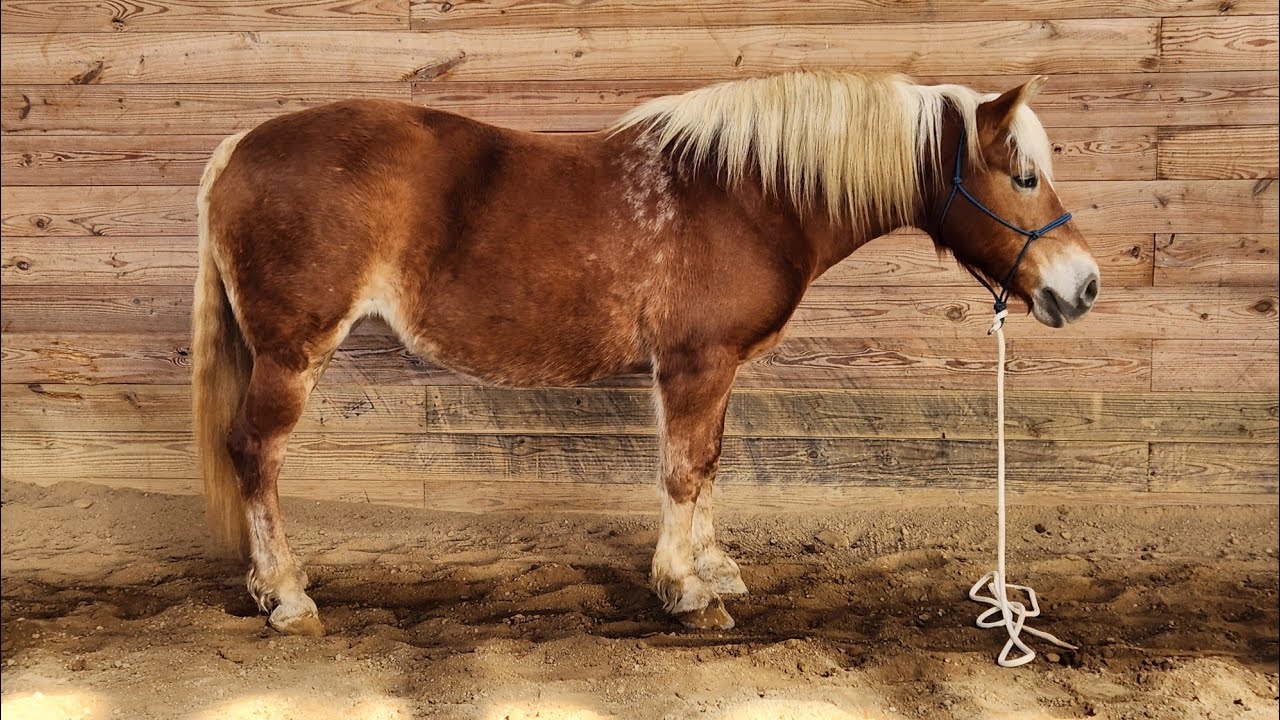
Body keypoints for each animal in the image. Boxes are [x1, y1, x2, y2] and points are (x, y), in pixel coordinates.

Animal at [193, 70, 1100, 636]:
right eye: (1024, 176)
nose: (1083, 285)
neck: (746, 195)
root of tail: (238, 145)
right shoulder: (695, 363)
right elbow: (684, 470)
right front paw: (687, 591)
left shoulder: (716, 367)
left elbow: (711, 464)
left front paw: (714, 567)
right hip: (292, 354)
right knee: (257, 453)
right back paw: (285, 595)